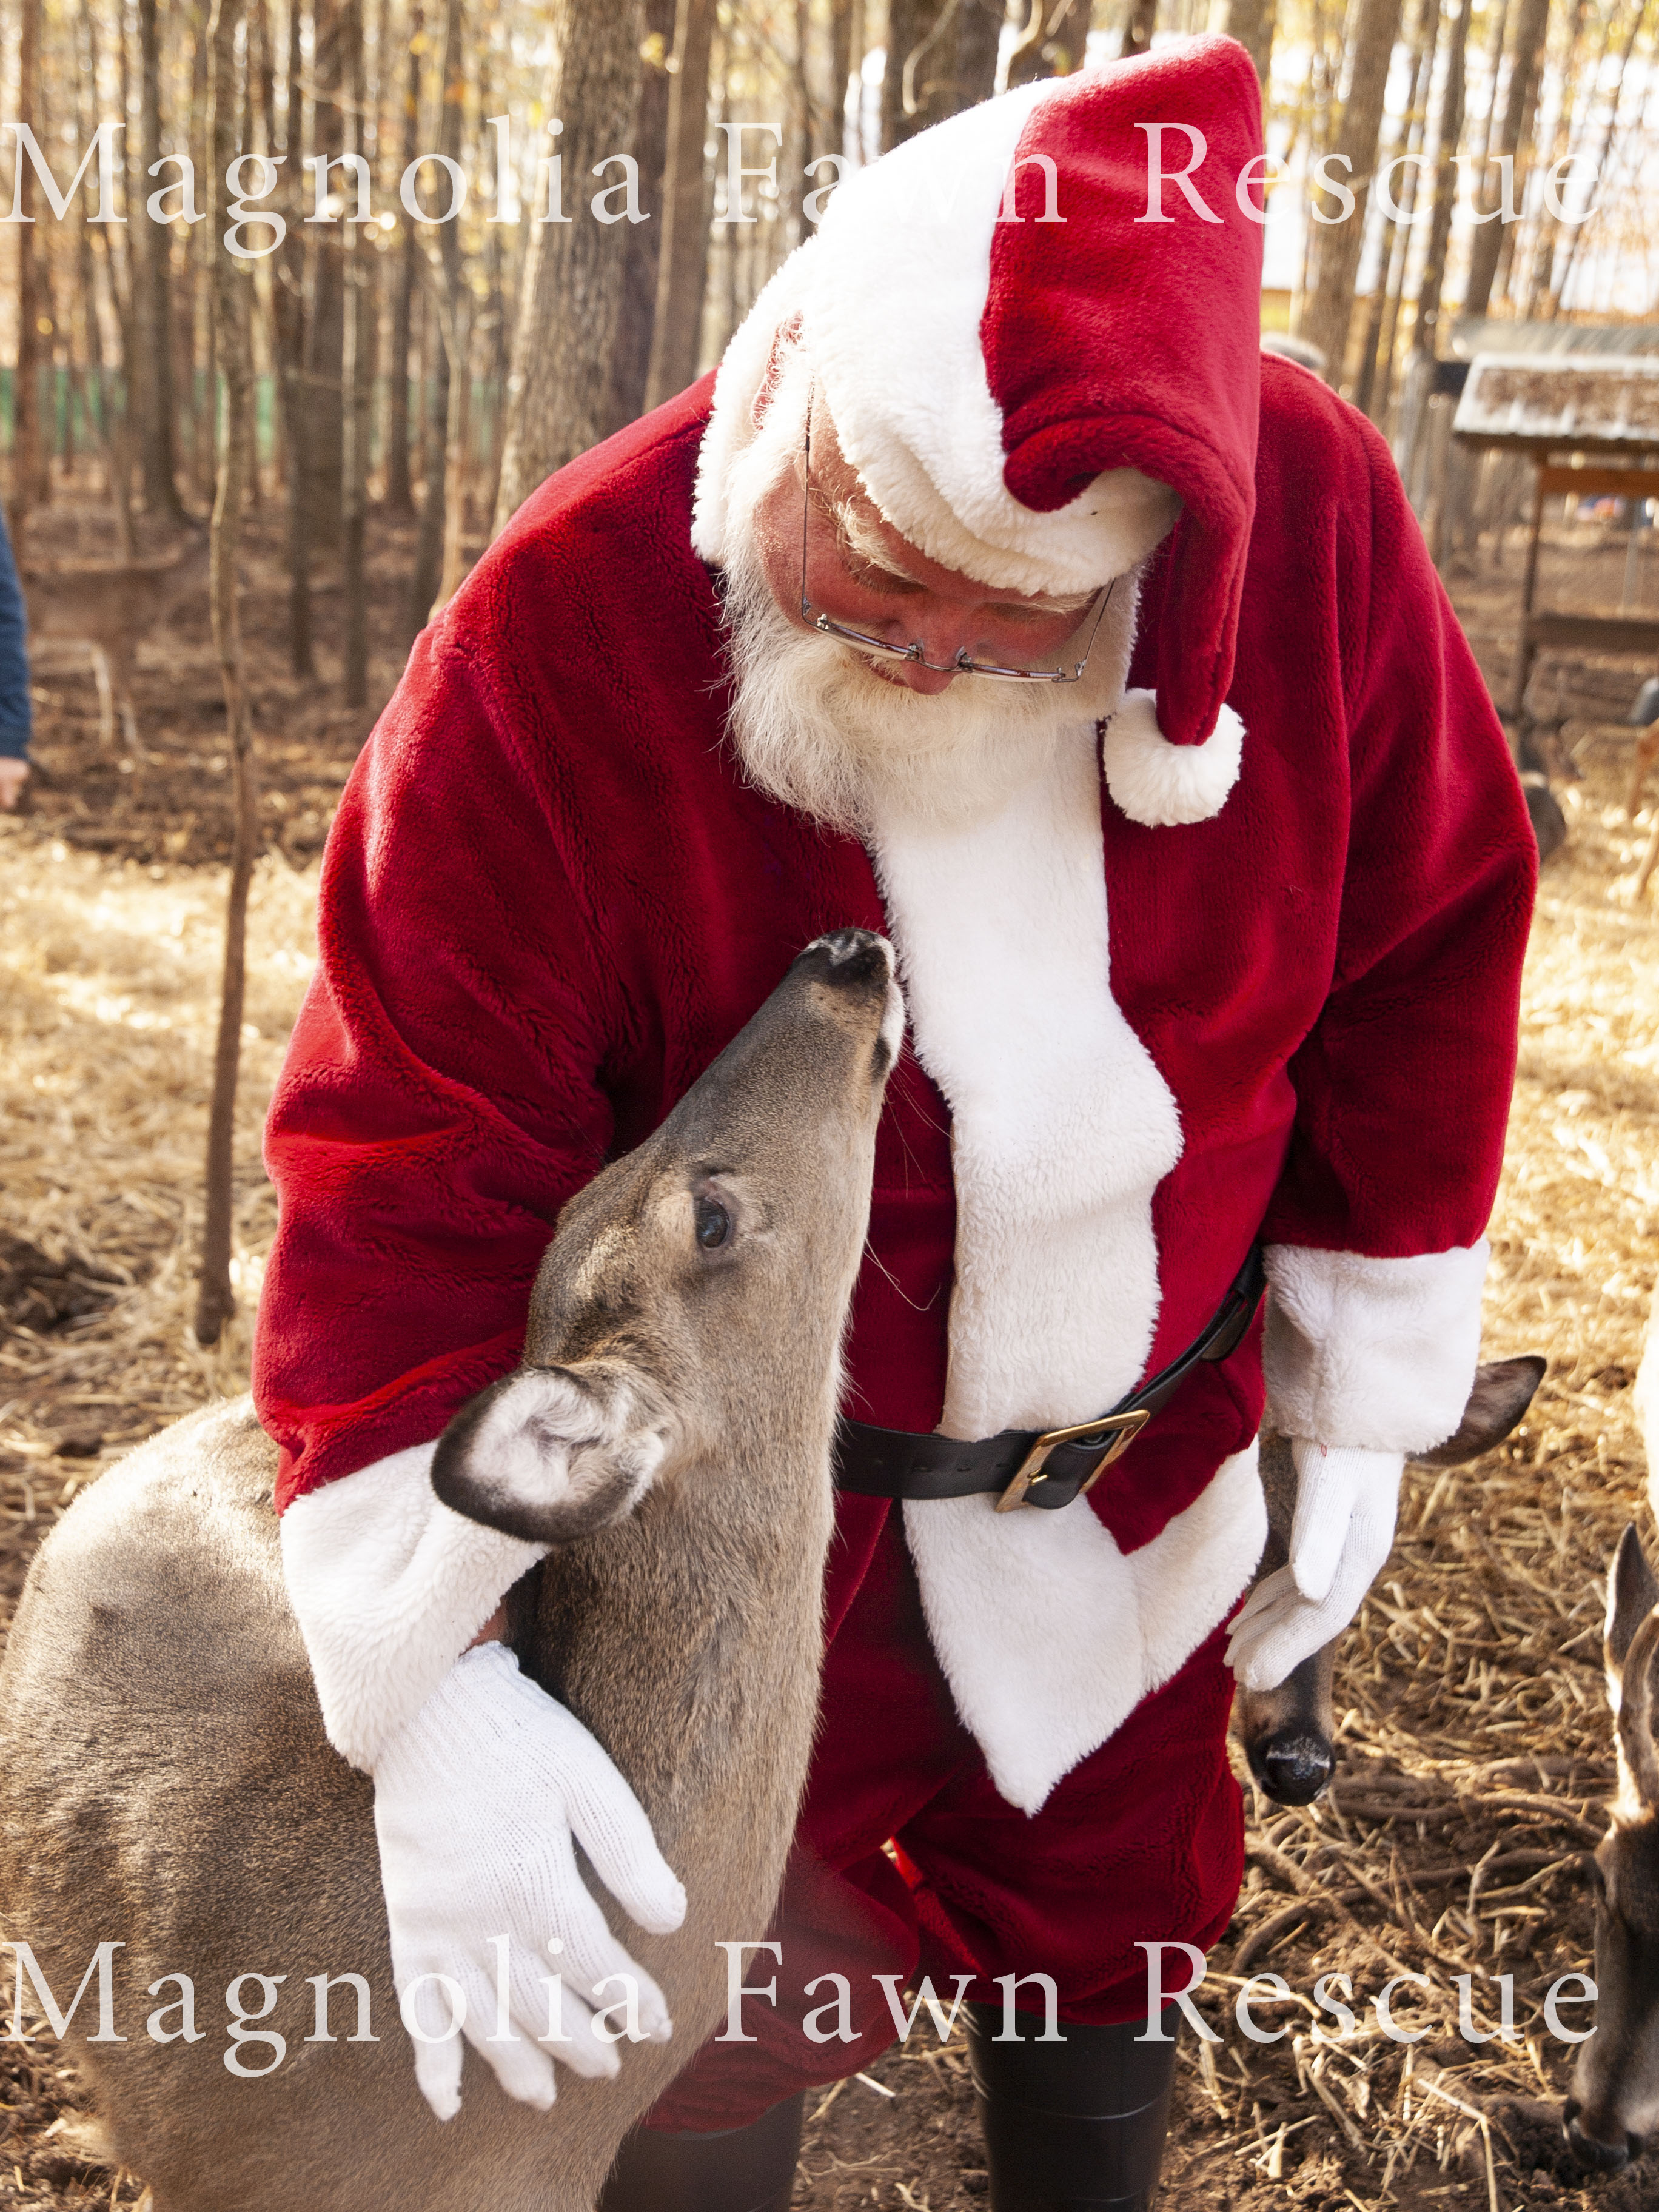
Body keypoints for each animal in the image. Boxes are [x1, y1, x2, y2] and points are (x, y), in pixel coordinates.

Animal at [21, 528, 210, 757]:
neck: (158, 592)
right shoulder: (123, 635)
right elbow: (127, 689)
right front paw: (138, 746)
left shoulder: (102, 640)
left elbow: (106, 687)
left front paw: (106, 742)